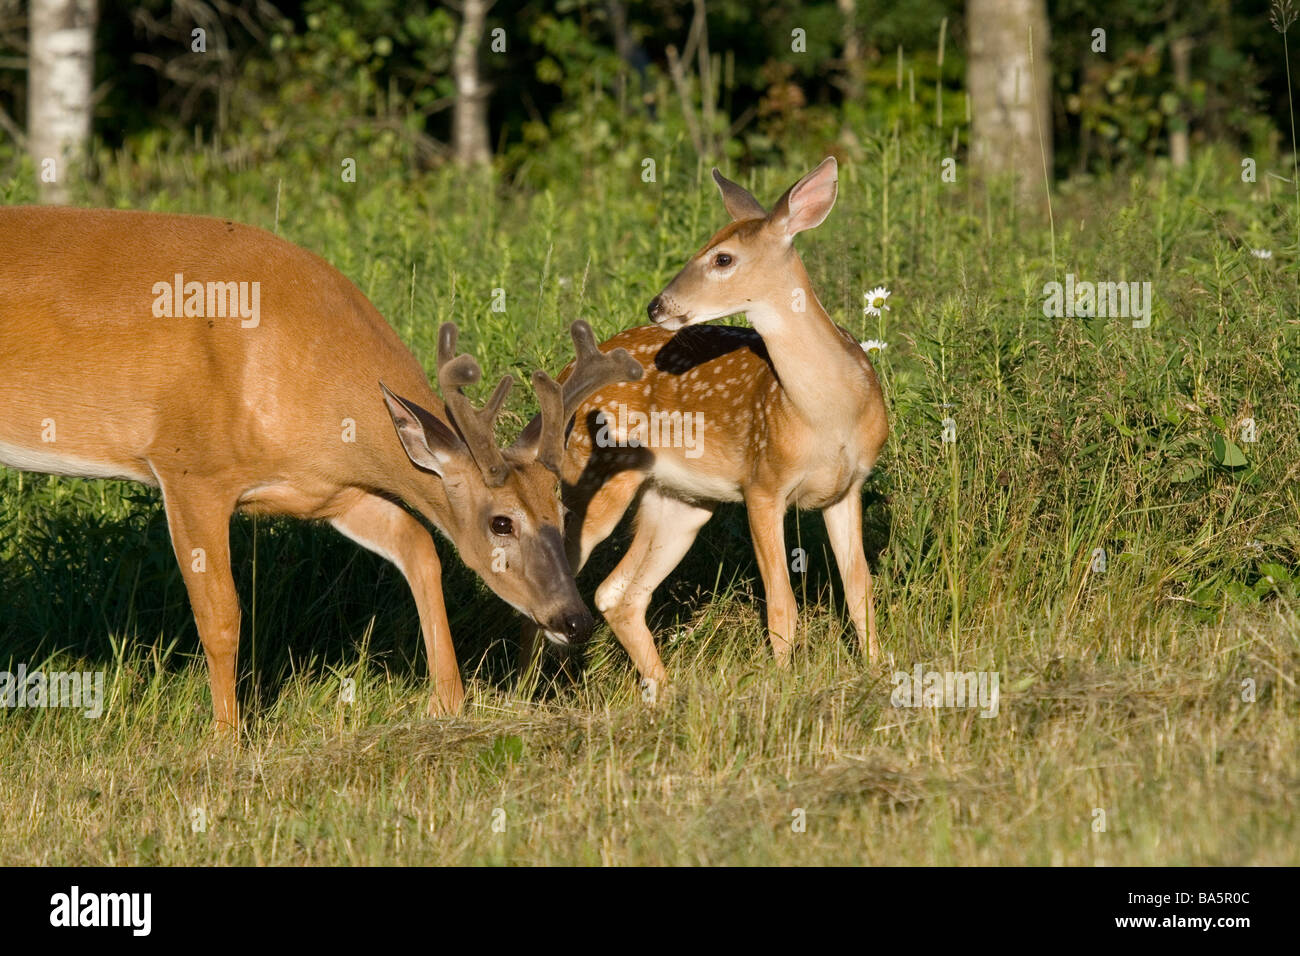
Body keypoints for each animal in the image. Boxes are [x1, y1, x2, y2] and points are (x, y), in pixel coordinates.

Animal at [0, 205, 642, 731]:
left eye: (563, 511)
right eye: (501, 522)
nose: (574, 620)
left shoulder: (330, 491)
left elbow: (419, 546)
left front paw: (446, 703)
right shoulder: (190, 467)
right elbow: (222, 615)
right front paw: (226, 741)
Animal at [523, 157, 888, 693]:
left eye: (722, 259)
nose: (657, 305)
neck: (829, 415)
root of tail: (567, 377)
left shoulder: (847, 487)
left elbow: (859, 590)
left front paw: (879, 669)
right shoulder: (762, 482)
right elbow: (782, 604)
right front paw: (782, 684)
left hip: (679, 500)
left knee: (618, 593)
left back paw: (662, 692)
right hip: (591, 476)